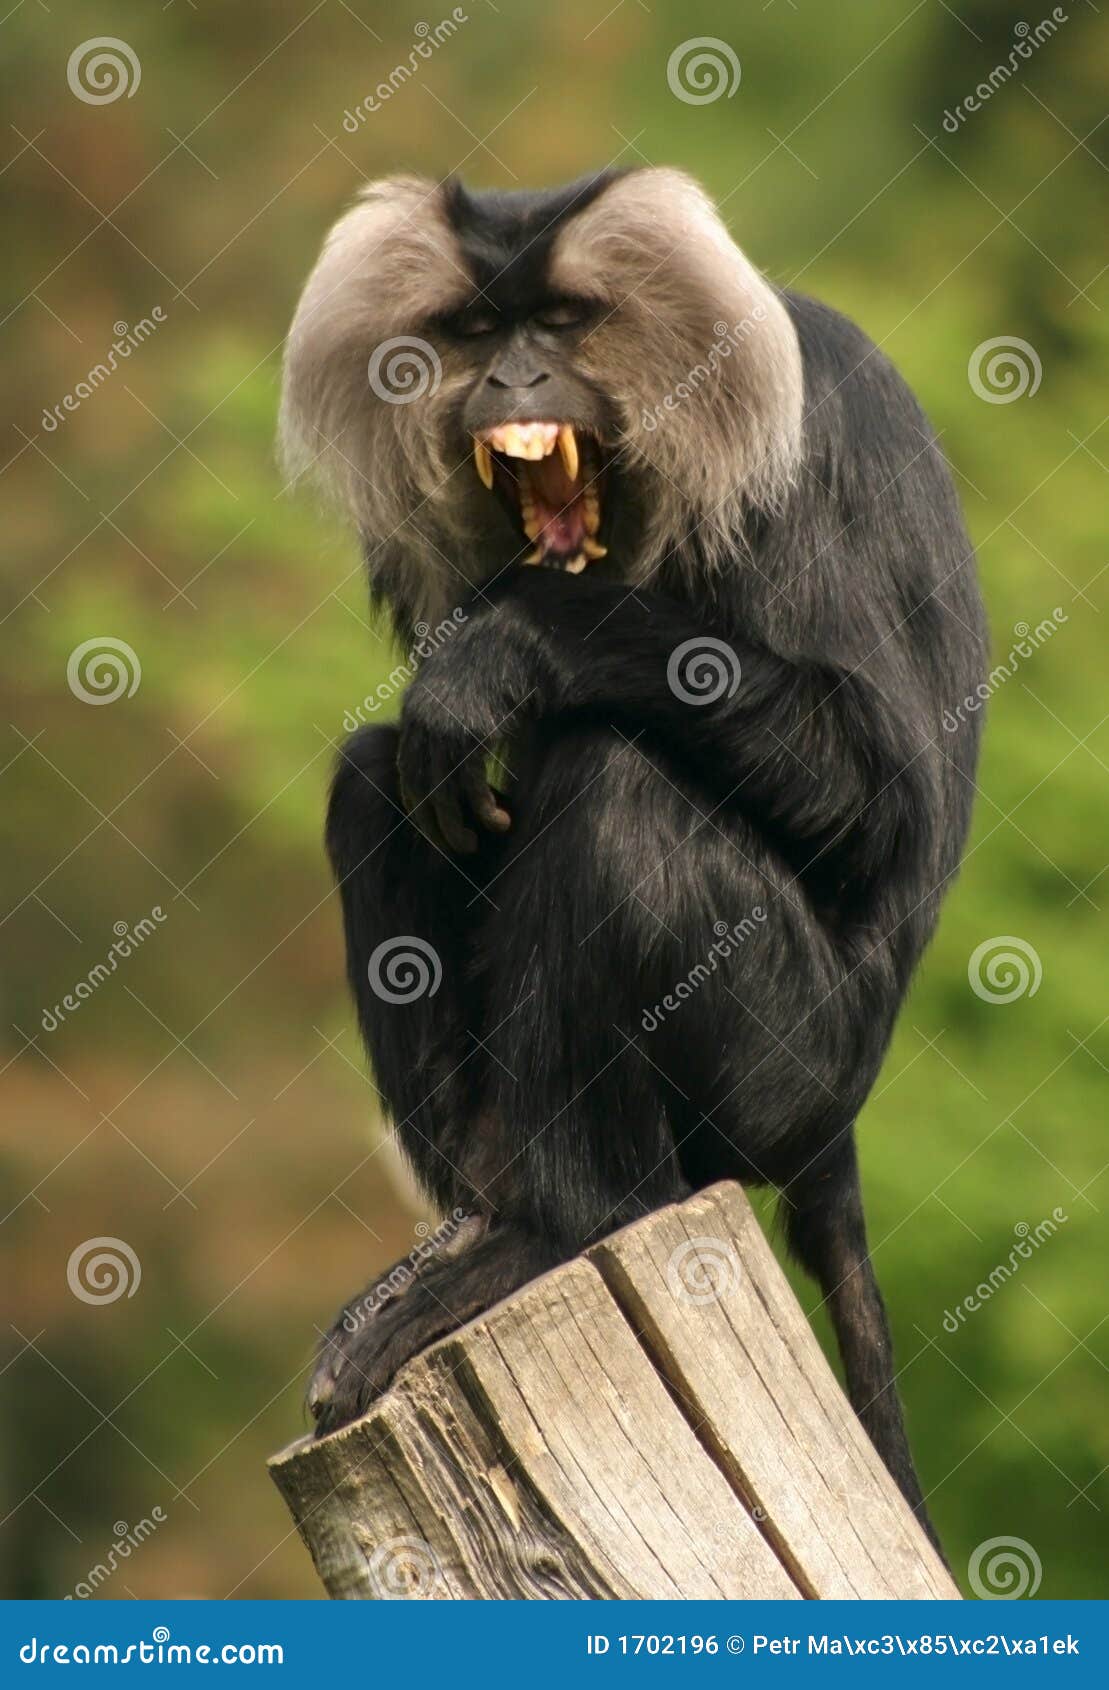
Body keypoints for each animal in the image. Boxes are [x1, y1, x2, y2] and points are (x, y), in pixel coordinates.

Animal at [279, 167, 987, 1552]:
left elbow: (881, 793)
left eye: (558, 322)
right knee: (380, 782)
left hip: (785, 1068)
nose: (512, 382)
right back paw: (482, 1222)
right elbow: (427, 767)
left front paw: (507, 653)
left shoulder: (799, 450)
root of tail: (837, 1128)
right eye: (474, 332)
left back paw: (558, 1230)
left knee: (617, 790)